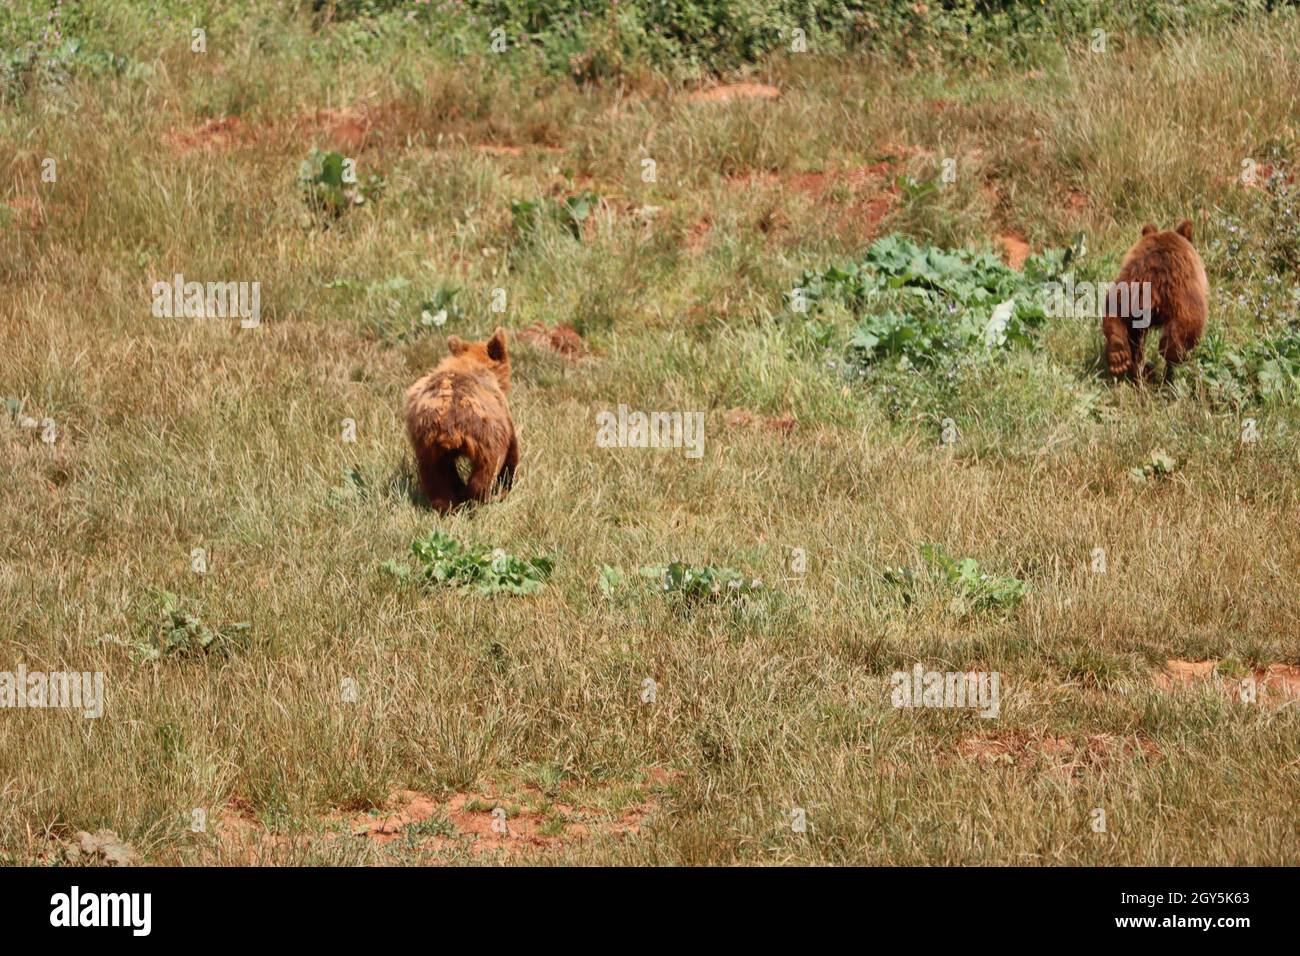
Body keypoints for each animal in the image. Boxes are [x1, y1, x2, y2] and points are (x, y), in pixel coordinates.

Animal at [404, 328, 518, 514]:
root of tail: (450, 424)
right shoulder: (503, 416)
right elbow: (512, 453)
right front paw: (507, 485)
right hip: (486, 437)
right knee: (486, 470)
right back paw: (477, 499)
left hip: (427, 444)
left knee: (436, 475)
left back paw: (448, 504)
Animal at [1102, 219, 1208, 382]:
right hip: (1184, 298)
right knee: (1187, 325)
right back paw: (1171, 355)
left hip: (1124, 292)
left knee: (1119, 319)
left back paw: (1120, 357)